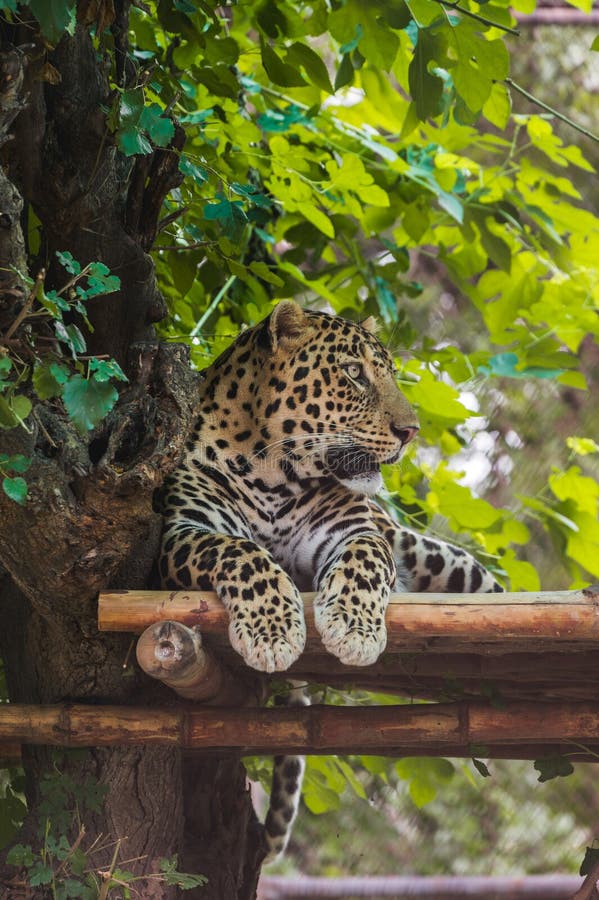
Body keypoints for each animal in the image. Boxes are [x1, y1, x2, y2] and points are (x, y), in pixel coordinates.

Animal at [157, 300, 502, 860]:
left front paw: (354, 630)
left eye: (388, 375)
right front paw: (273, 634)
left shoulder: (357, 531)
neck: (272, 477)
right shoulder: (184, 529)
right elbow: (244, 553)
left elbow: (364, 562)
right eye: (354, 373)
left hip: (443, 560)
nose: (410, 431)